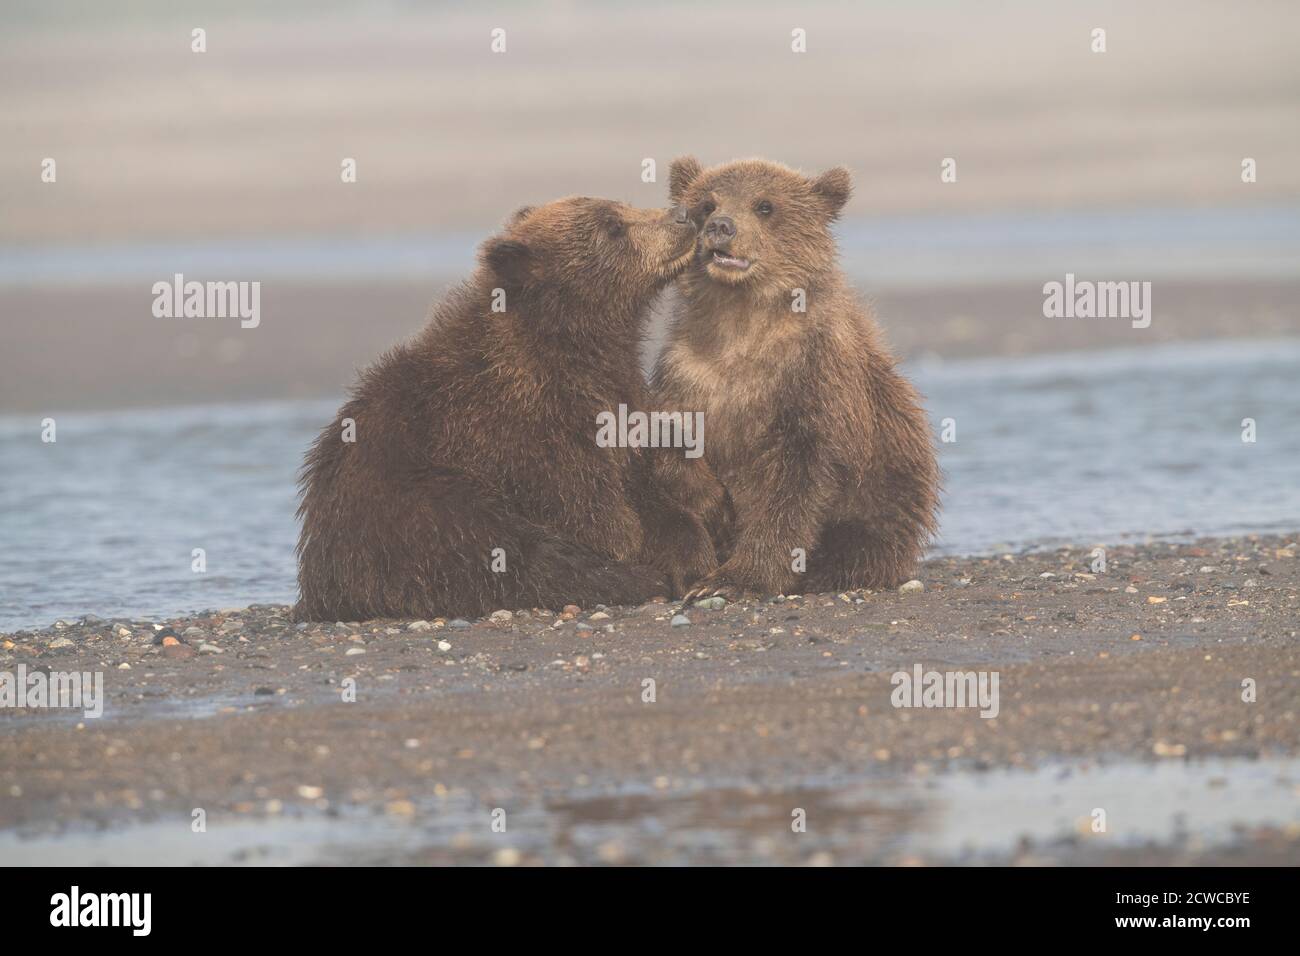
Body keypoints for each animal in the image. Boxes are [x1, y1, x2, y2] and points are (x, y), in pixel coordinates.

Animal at [294, 196, 718, 622]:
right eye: (613, 227)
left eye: (624, 207)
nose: (682, 216)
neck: (574, 344)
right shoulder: (521, 429)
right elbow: (592, 514)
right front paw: (637, 557)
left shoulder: (617, 407)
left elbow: (645, 486)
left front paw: (689, 553)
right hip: (411, 499)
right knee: (499, 547)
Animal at [650, 157, 940, 600]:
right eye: (706, 204)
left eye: (764, 205)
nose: (721, 226)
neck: (740, 322)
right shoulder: (687, 372)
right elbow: (671, 445)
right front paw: (714, 522)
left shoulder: (811, 377)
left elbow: (794, 485)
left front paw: (735, 579)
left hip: (886, 483)